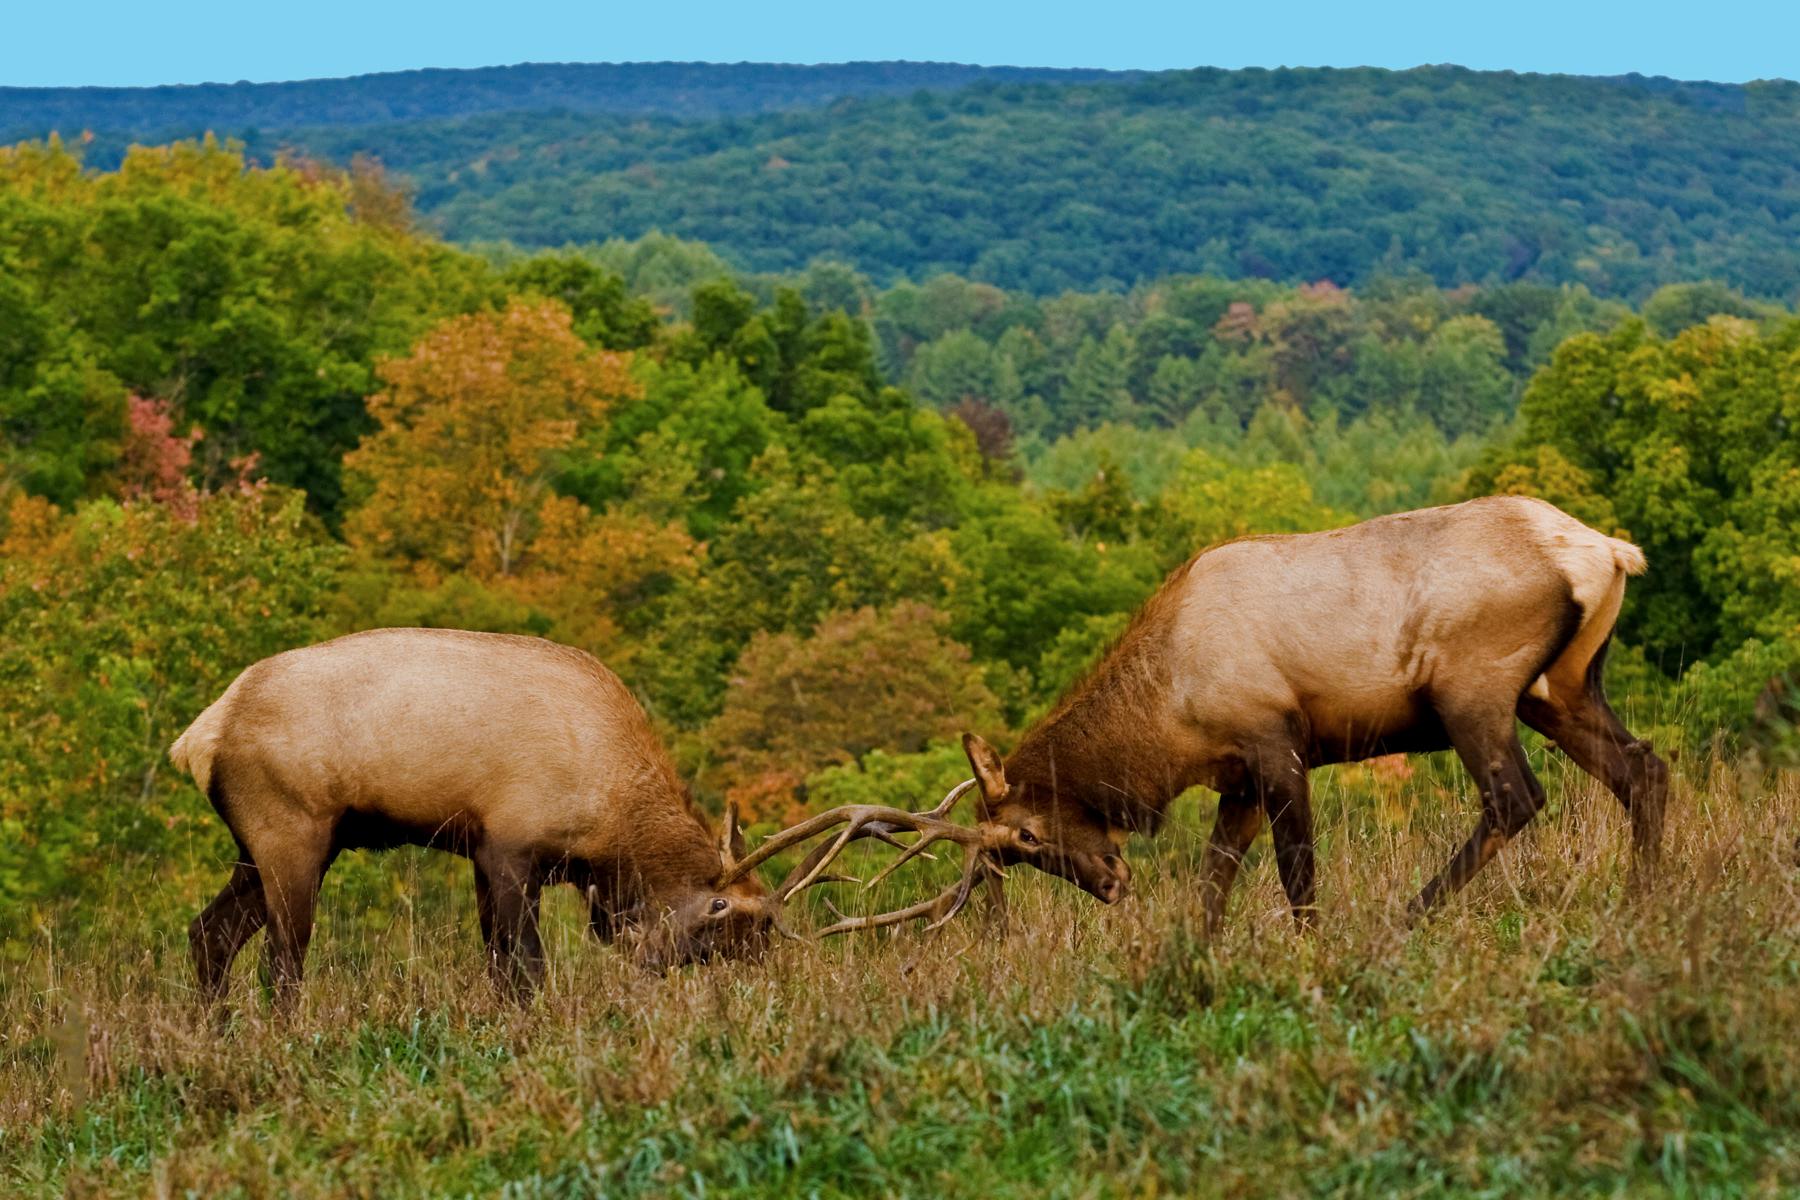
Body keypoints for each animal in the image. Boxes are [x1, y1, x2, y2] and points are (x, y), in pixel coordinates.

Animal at [169, 628, 861, 1006]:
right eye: (722, 910)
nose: (651, 964)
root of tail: (199, 737)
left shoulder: (482, 854)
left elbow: (499, 969)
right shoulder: (508, 847)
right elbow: (525, 967)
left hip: (261, 849)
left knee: (209, 934)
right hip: (293, 836)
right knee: (281, 961)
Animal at [736, 496, 1671, 939]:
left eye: (1025, 838)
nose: (1107, 883)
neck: (1168, 718)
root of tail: (1608, 551)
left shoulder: (1275, 741)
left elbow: (1295, 874)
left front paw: (1312, 945)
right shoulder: (1236, 778)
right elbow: (1214, 877)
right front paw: (1194, 950)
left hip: (1474, 691)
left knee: (1517, 799)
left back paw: (1410, 914)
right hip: (1561, 688)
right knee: (1643, 767)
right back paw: (1641, 900)